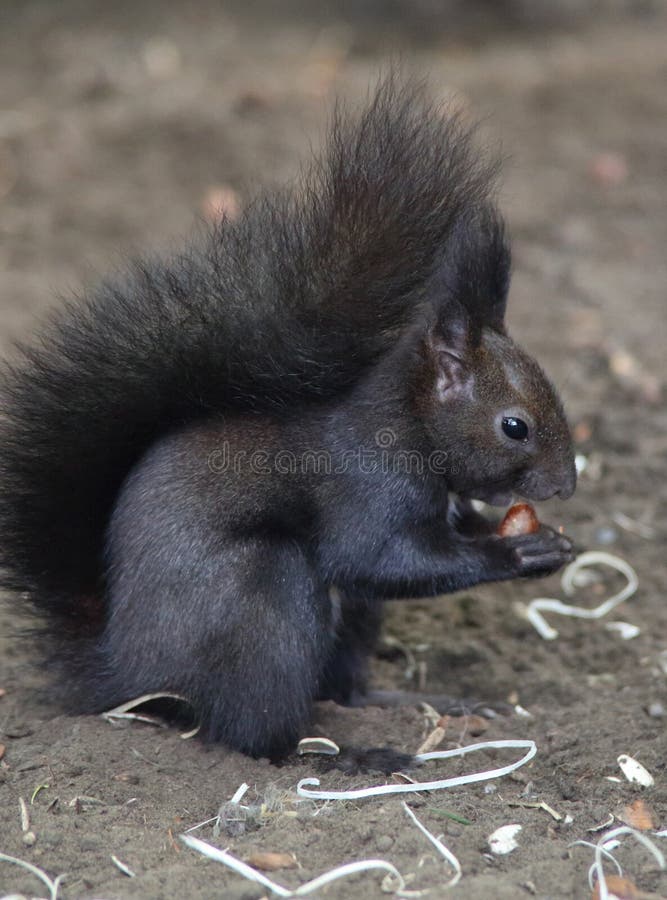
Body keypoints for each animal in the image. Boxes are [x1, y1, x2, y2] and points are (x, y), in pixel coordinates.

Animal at [0, 78, 576, 769]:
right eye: (515, 426)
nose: (566, 485)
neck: (409, 426)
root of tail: (128, 675)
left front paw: (549, 542)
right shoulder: (367, 487)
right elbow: (381, 558)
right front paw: (516, 550)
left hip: (351, 621)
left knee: (343, 690)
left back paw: (412, 703)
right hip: (268, 599)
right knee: (256, 733)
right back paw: (344, 755)